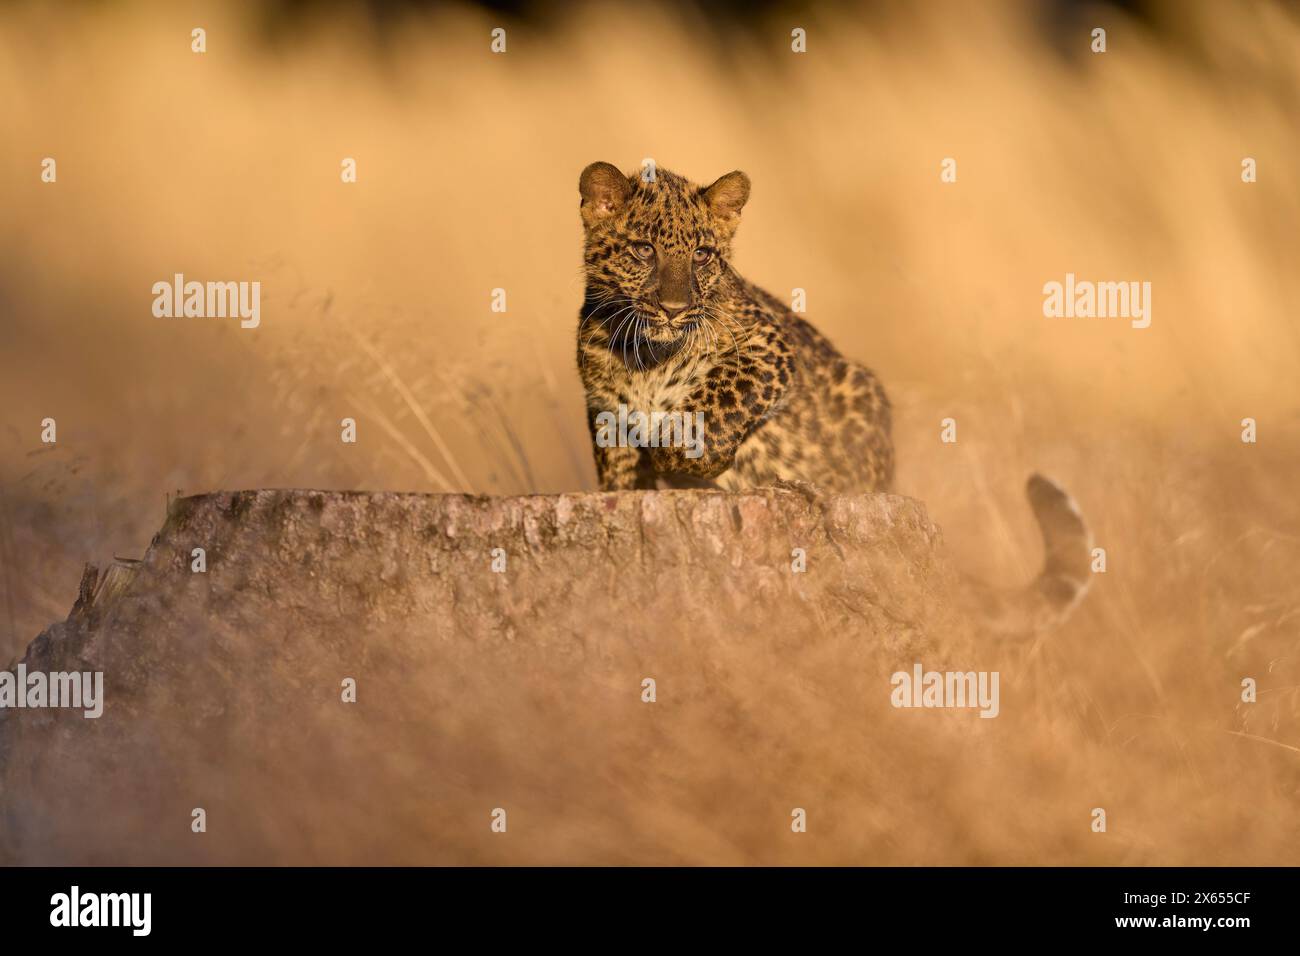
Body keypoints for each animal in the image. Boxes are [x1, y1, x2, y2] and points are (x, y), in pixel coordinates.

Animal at [575, 161, 1092, 632]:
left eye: (702, 254)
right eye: (643, 250)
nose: (675, 308)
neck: (646, 352)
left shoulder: (771, 351)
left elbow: (723, 397)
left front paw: (682, 452)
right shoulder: (604, 408)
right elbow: (618, 468)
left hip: (861, 390)